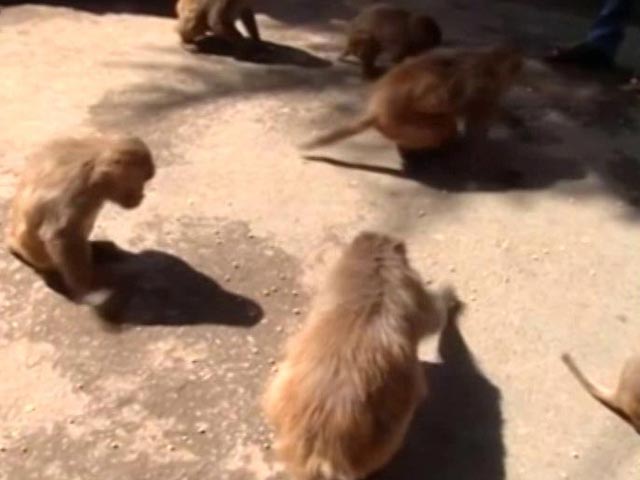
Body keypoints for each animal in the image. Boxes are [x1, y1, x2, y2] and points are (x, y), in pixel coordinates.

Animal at [301, 45, 523, 153]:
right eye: (516, 65)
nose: (521, 65)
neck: (490, 64)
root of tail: (376, 108)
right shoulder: (482, 88)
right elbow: (475, 113)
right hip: (400, 123)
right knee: (439, 125)